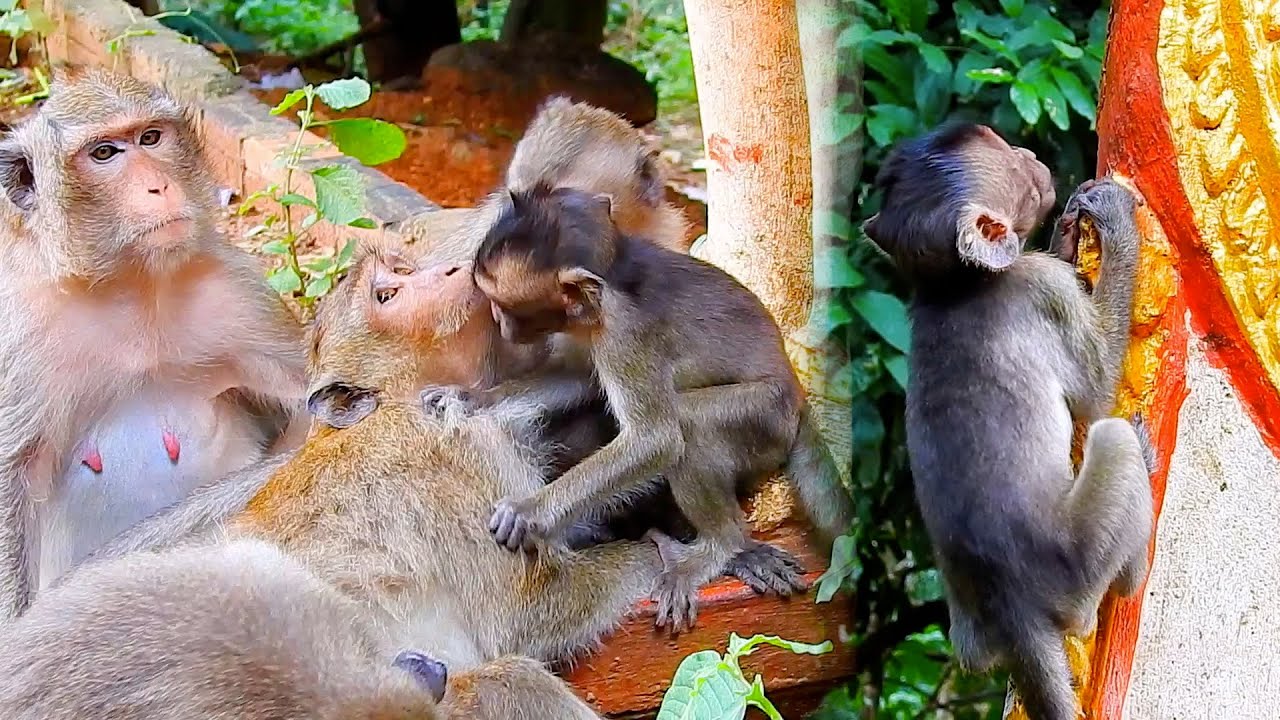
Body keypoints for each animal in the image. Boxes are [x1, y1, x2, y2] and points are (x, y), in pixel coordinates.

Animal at [0, 67, 307, 617]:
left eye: (150, 138)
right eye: (105, 153)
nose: (158, 185)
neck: (131, 287)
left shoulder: (239, 296)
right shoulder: (20, 333)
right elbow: (8, 480)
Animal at [470, 184, 854, 633]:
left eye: (503, 303)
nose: (498, 321)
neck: (616, 273)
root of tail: (797, 395)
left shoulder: (623, 334)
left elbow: (656, 439)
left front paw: (530, 512)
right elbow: (580, 378)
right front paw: (468, 400)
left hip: (768, 418)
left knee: (690, 424)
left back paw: (718, 547)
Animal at [859, 123, 1153, 720]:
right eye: (1012, 164)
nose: (1030, 153)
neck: (950, 285)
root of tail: (1013, 607)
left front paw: (1072, 229)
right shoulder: (1041, 287)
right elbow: (1095, 391)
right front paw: (1112, 219)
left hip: (969, 635)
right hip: (1080, 567)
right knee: (1111, 438)